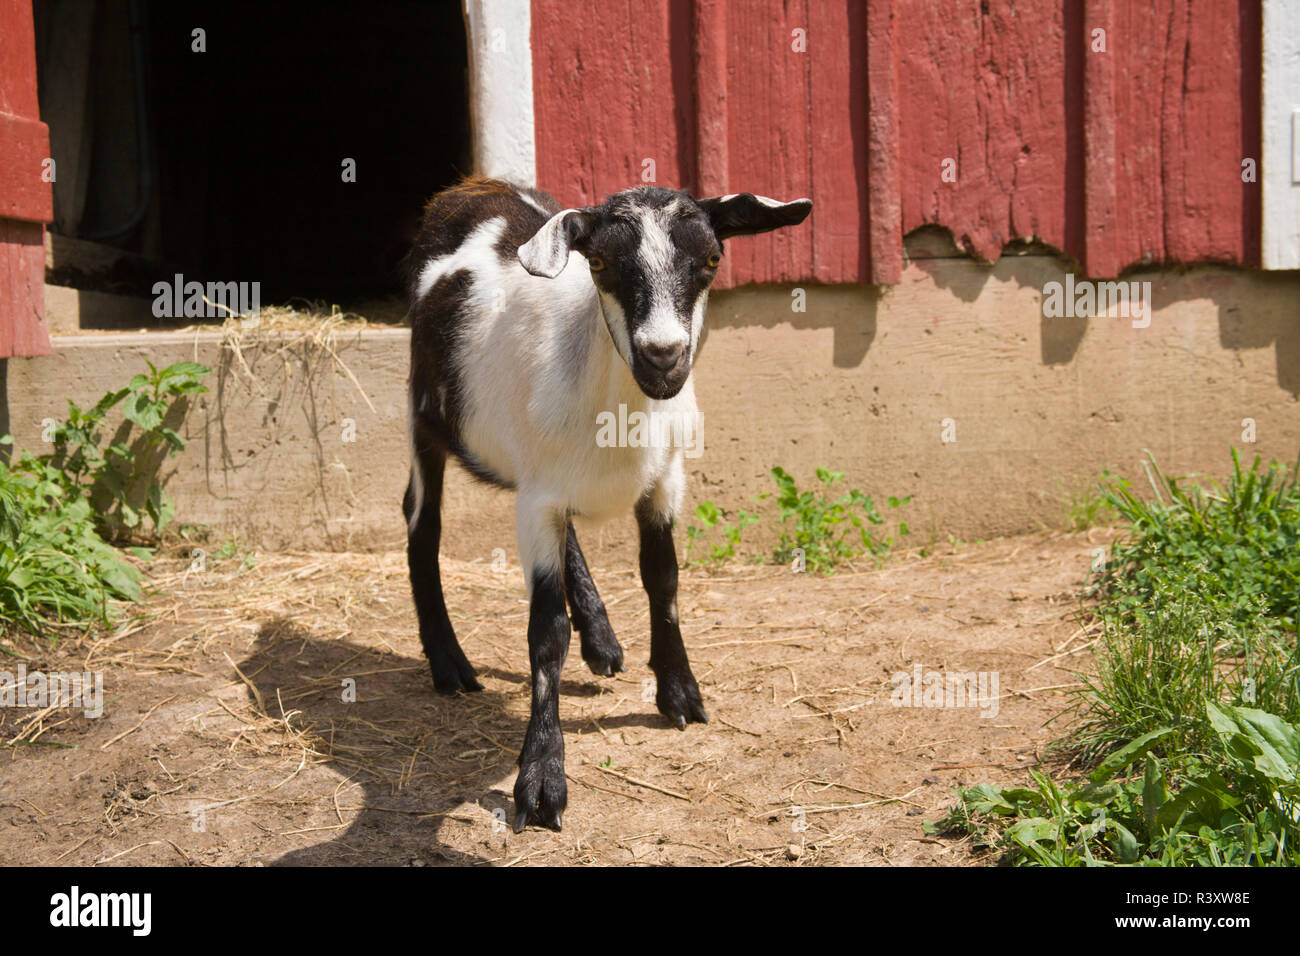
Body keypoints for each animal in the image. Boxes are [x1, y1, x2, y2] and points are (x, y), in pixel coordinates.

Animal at [402, 176, 811, 831]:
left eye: (711, 259)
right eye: (599, 264)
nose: (663, 356)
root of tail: (475, 185)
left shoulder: (663, 480)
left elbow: (663, 581)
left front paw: (679, 692)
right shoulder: (537, 500)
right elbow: (546, 631)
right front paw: (541, 778)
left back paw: (601, 639)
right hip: (423, 413)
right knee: (422, 521)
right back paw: (448, 662)